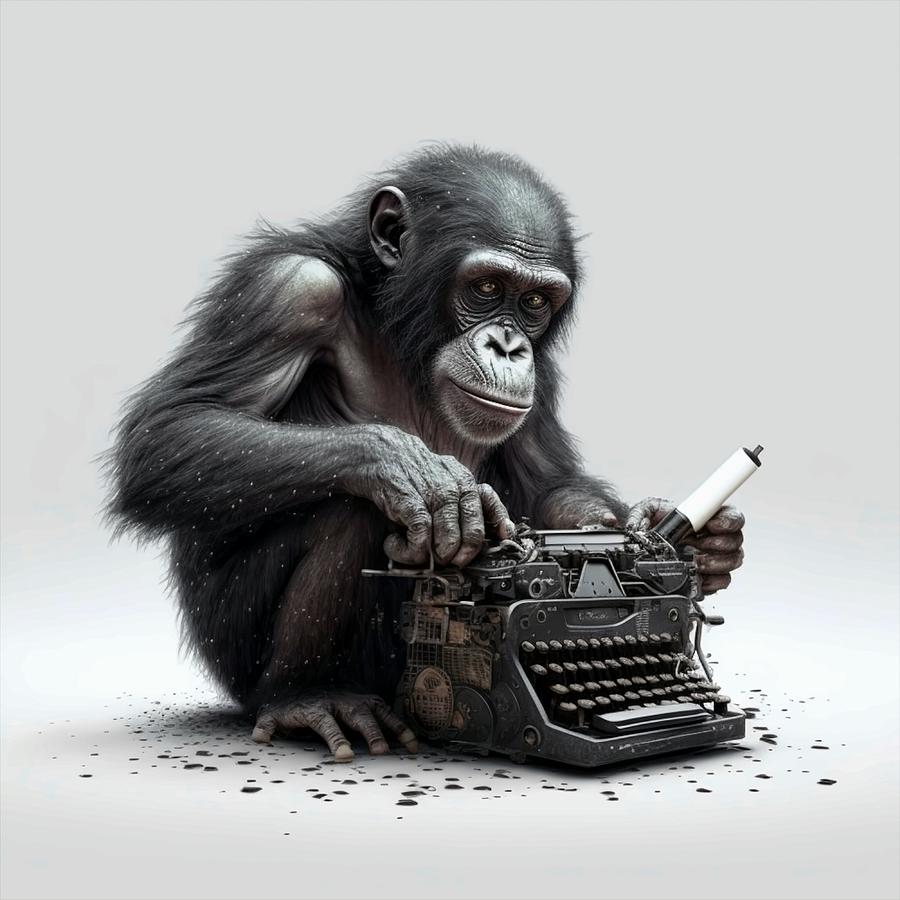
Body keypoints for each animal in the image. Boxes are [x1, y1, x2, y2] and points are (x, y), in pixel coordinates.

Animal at [108, 145, 745, 761]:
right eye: (486, 288)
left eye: (535, 301)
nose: (509, 345)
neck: (401, 330)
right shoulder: (287, 291)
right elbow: (174, 427)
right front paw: (425, 478)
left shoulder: (542, 374)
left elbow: (548, 481)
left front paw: (681, 535)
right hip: (234, 653)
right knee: (350, 511)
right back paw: (311, 697)